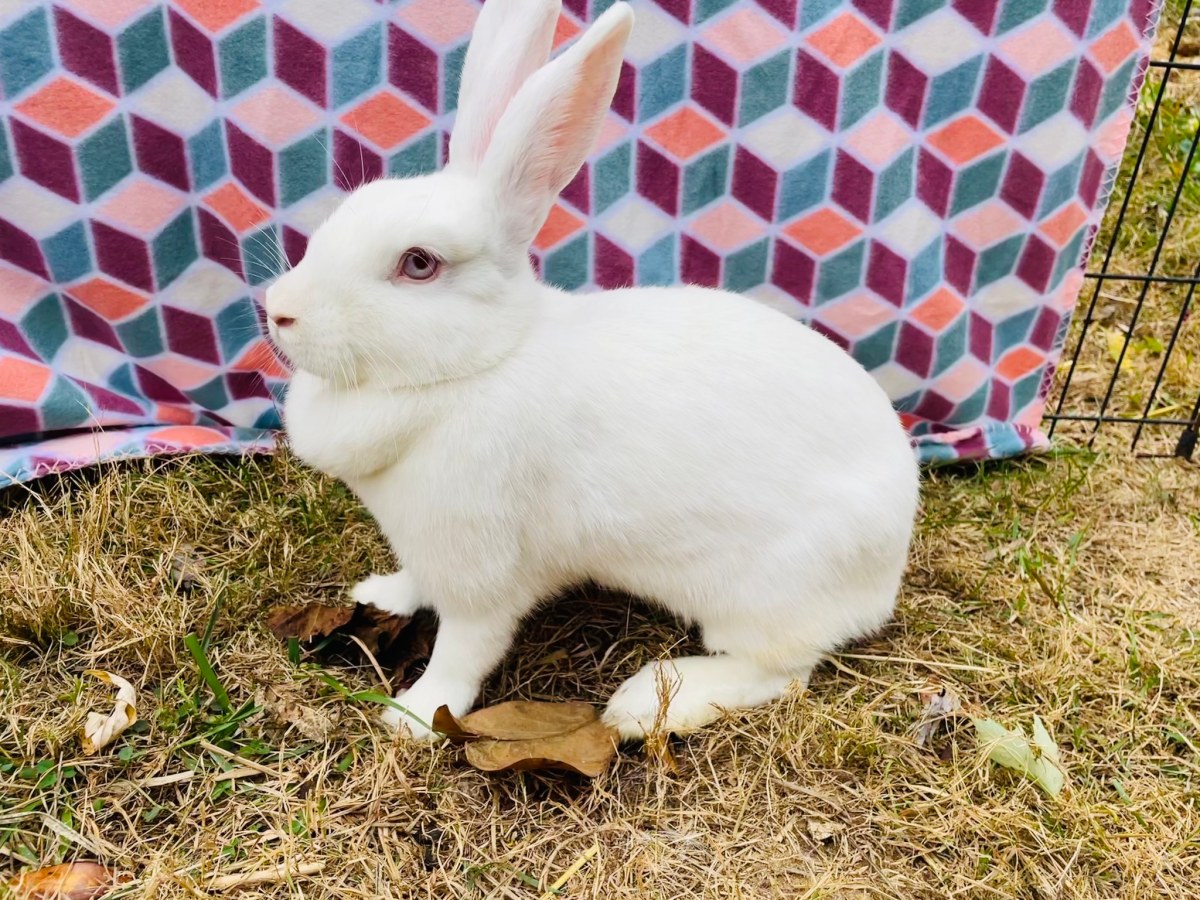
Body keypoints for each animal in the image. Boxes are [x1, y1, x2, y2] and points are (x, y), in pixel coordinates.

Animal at [264, 0, 920, 742]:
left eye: (419, 263)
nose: (279, 311)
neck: (475, 367)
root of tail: (886, 573)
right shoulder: (427, 549)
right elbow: (416, 581)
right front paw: (381, 593)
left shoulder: (480, 572)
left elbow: (464, 650)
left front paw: (414, 715)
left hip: (763, 596)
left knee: (781, 672)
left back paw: (649, 701)